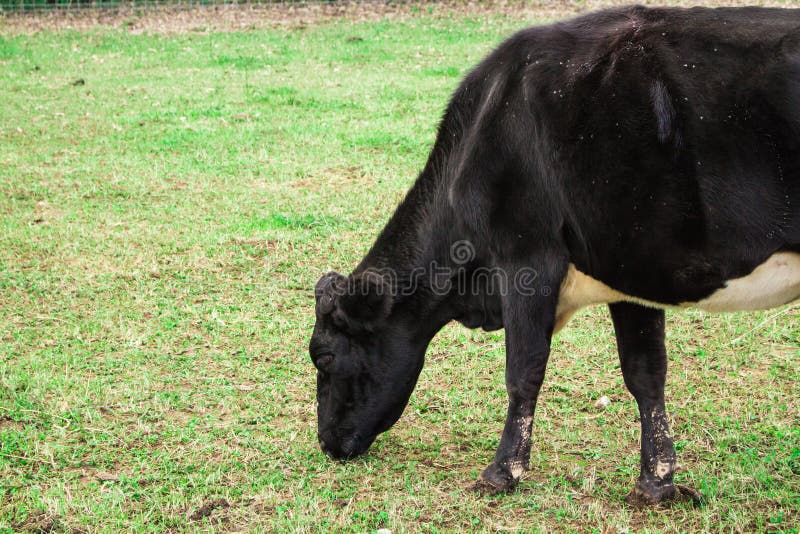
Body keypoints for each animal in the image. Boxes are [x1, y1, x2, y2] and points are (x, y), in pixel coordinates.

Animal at [308, 5, 800, 505]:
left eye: (323, 357)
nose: (326, 442)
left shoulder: (527, 257)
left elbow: (523, 370)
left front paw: (501, 472)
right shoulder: (628, 272)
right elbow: (646, 374)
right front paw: (657, 482)